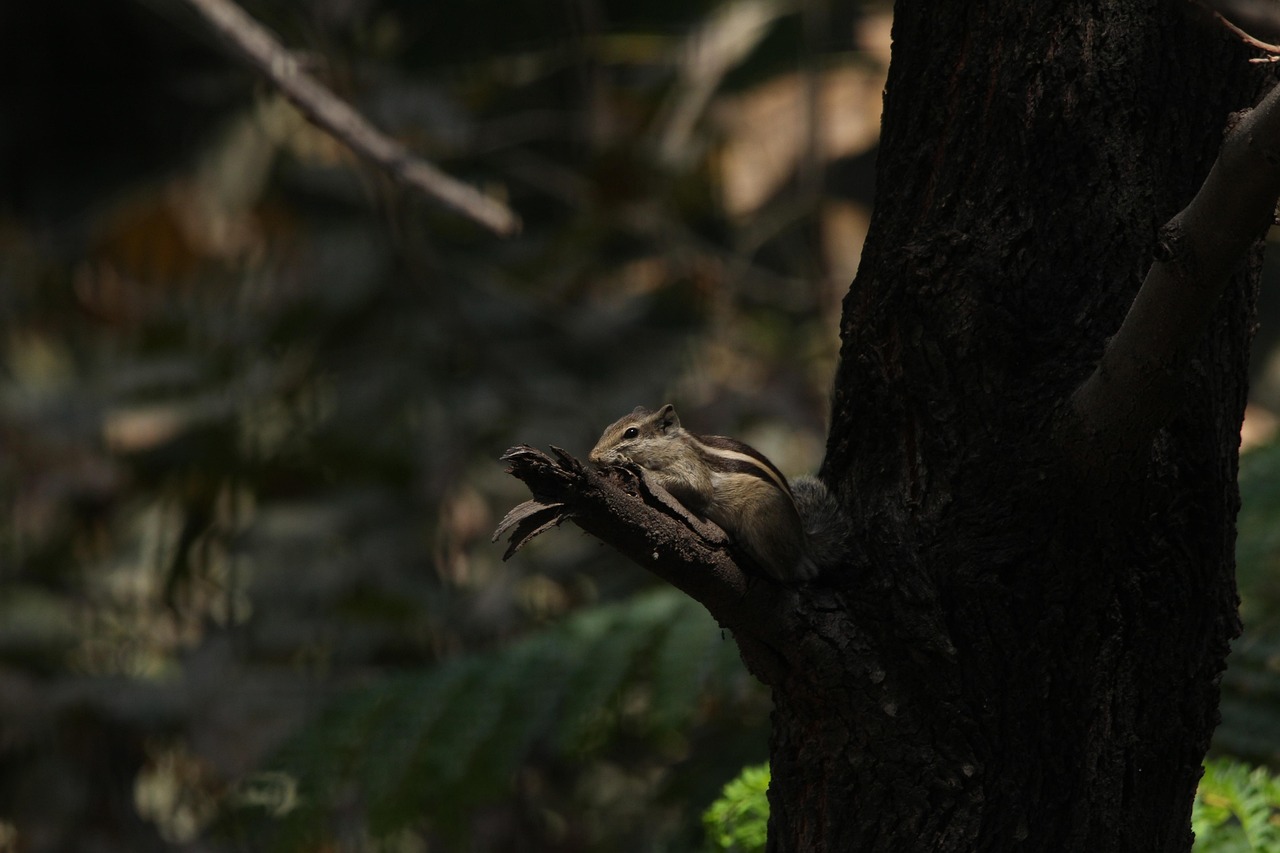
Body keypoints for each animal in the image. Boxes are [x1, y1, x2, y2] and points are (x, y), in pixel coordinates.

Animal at [588, 403, 848, 582]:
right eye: (608, 428)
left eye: (631, 433)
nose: (593, 457)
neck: (675, 443)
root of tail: (804, 542)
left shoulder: (690, 466)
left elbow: (698, 488)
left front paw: (638, 468)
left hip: (762, 521)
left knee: (787, 573)